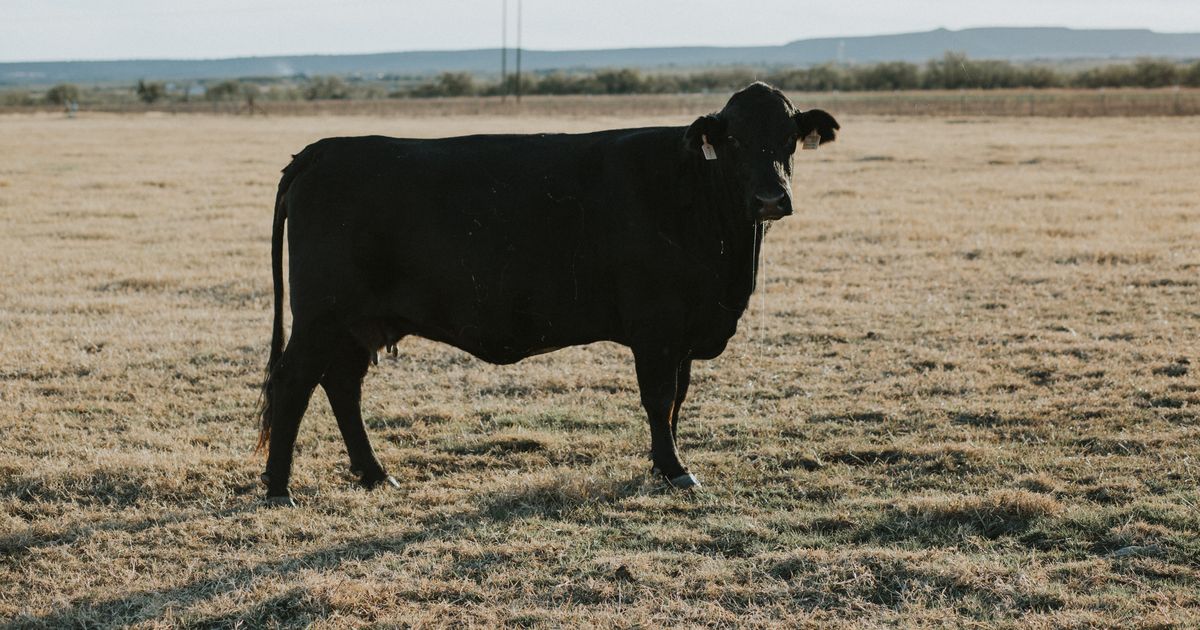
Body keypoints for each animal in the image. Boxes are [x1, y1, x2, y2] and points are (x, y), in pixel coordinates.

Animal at [258, 82, 839, 506]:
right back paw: (279, 488)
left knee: (341, 386)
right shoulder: (656, 327)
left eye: (789, 137)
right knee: (293, 384)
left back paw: (375, 475)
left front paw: (663, 464)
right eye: (734, 140)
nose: (771, 198)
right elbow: (659, 398)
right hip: (321, 317)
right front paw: (675, 470)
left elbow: (677, 399)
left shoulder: (684, 332)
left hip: (357, 325)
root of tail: (323, 151)